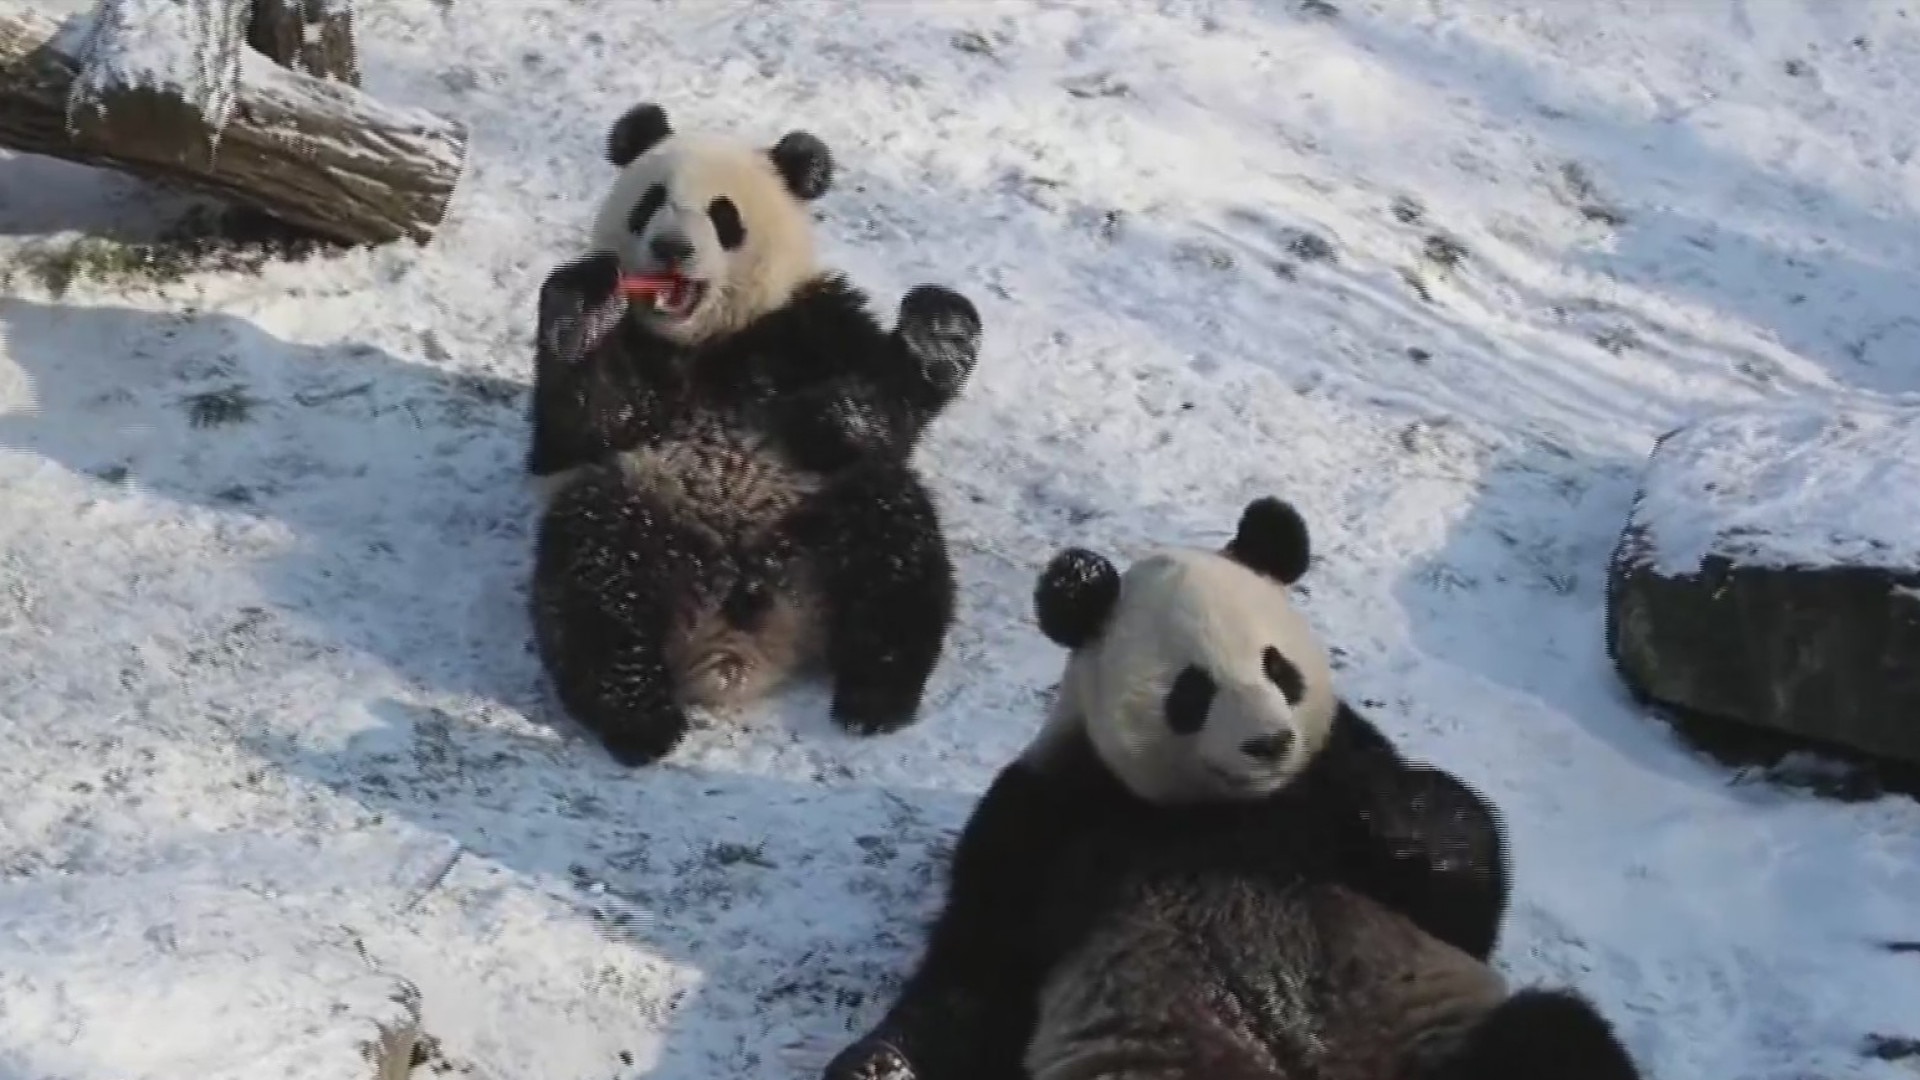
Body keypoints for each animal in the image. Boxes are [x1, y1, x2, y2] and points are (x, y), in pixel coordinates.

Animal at [526, 102, 982, 766]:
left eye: (723, 216)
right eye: (651, 201)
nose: (671, 248)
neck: (710, 341)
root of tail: (740, 631)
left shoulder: (811, 321)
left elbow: (880, 416)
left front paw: (935, 343)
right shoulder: (632, 367)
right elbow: (577, 428)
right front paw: (581, 308)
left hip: (824, 509)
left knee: (898, 551)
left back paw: (875, 695)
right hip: (644, 507)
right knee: (595, 584)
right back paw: (641, 718)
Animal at [823, 496, 1644, 1080]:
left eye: (1278, 667)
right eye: (1193, 691)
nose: (1269, 742)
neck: (1222, 814)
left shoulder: (1336, 779)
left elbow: (1458, 901)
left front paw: (1412, 820)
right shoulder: (1051, 810)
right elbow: (982, 965)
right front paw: (881, 1065)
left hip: (1440, 1035)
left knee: (1552, 1038)